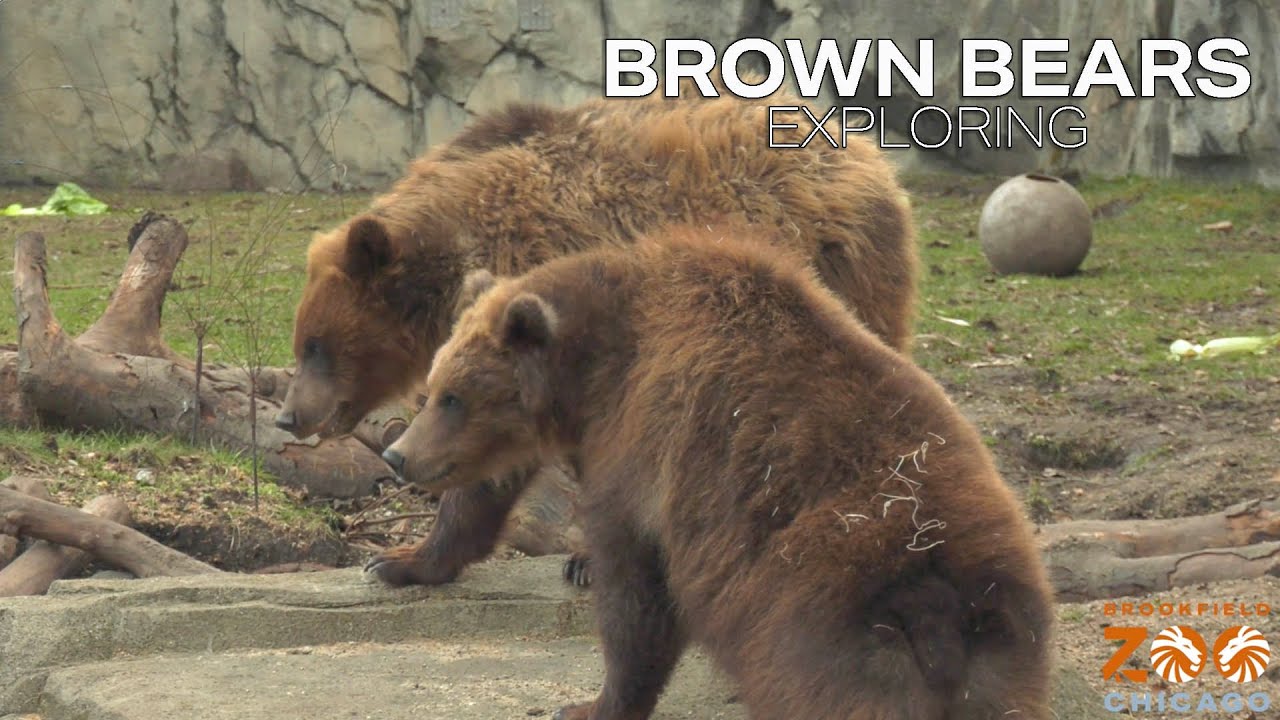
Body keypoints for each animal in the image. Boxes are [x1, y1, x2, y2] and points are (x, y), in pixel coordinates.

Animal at [277, 87, 919, 590]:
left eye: (315, 345)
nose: (288, 415)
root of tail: (863, 150)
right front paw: (406, 559)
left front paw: (400, 557)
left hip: (836, 272)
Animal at [381, 225, 1055, 720]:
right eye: (434, 388)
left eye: (453, 396)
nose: (398, 456)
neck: (591, 375)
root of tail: (942, 616)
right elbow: (484, 494)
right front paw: (400, 561)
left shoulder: (641, 447)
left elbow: (636, 592)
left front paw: (590, 703)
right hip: (999, 652)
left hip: (818, 627)